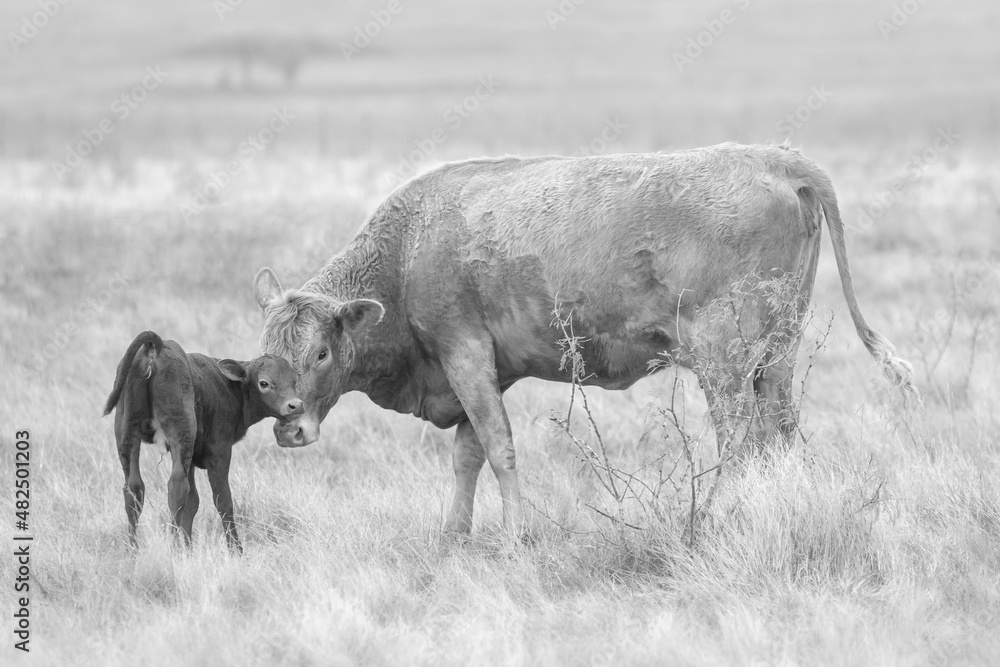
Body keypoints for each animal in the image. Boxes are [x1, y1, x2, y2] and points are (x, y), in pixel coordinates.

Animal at [103, 331, 303, 551]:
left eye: (294, 381)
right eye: (264, 383)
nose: (296, 405)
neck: (228, 388)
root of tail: (156, 346)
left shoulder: (190, 458)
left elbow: (193, 502)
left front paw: (188, 547)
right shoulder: (220, 451)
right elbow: (223, 500)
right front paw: (236, 550)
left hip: (128, 434)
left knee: (134, 488)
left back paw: (133, 549)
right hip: (181, 433)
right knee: (176, 486)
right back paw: (173, 547)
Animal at [251, 142, 914, 537]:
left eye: (320, 352)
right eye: (264, 363)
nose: (289, 428)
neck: (410, 247)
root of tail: (776, 159)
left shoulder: (464, 355)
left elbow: (497, 447)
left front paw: (515, 537)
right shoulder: (483, 371)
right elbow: (468, 454)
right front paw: (453, 535)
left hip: (722, 360)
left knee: (742, 438)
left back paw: (712, 519)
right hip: (776, 354)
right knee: (780, 431)